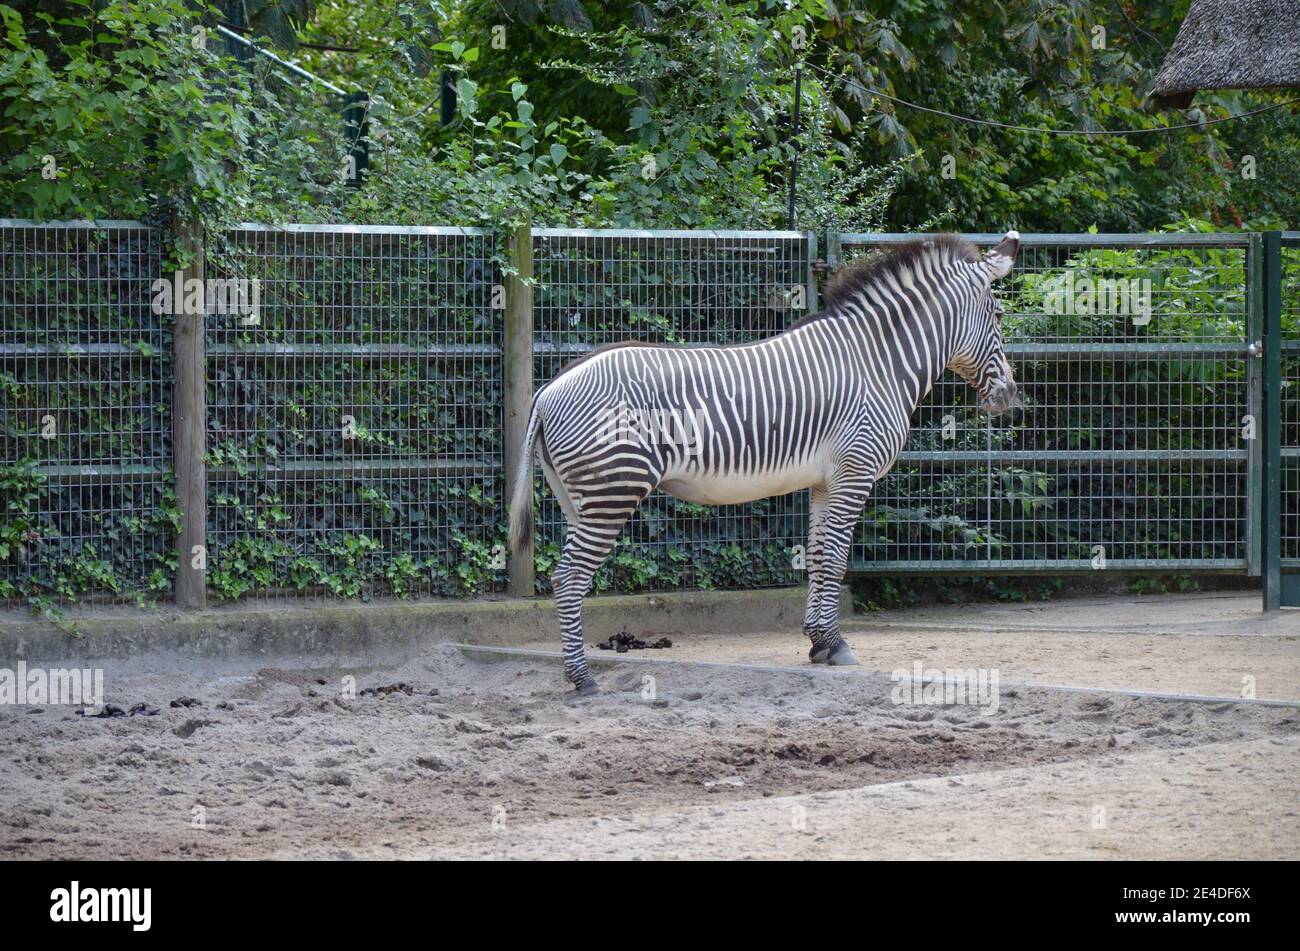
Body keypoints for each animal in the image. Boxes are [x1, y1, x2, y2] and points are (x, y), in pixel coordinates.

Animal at [509, 231, 1022, 694]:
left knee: (566, 576)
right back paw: (583, 679)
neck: (877, 363)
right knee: (569, 578)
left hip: (578, 499)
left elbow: (818, 556)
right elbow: (836, 559)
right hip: (612, 491)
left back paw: (575, 671)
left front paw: (819, 642)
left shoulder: (826, 482)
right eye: (998, 315)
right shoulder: (855, 473)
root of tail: (548, 390)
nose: (1010, 399)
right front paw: (837, 644)